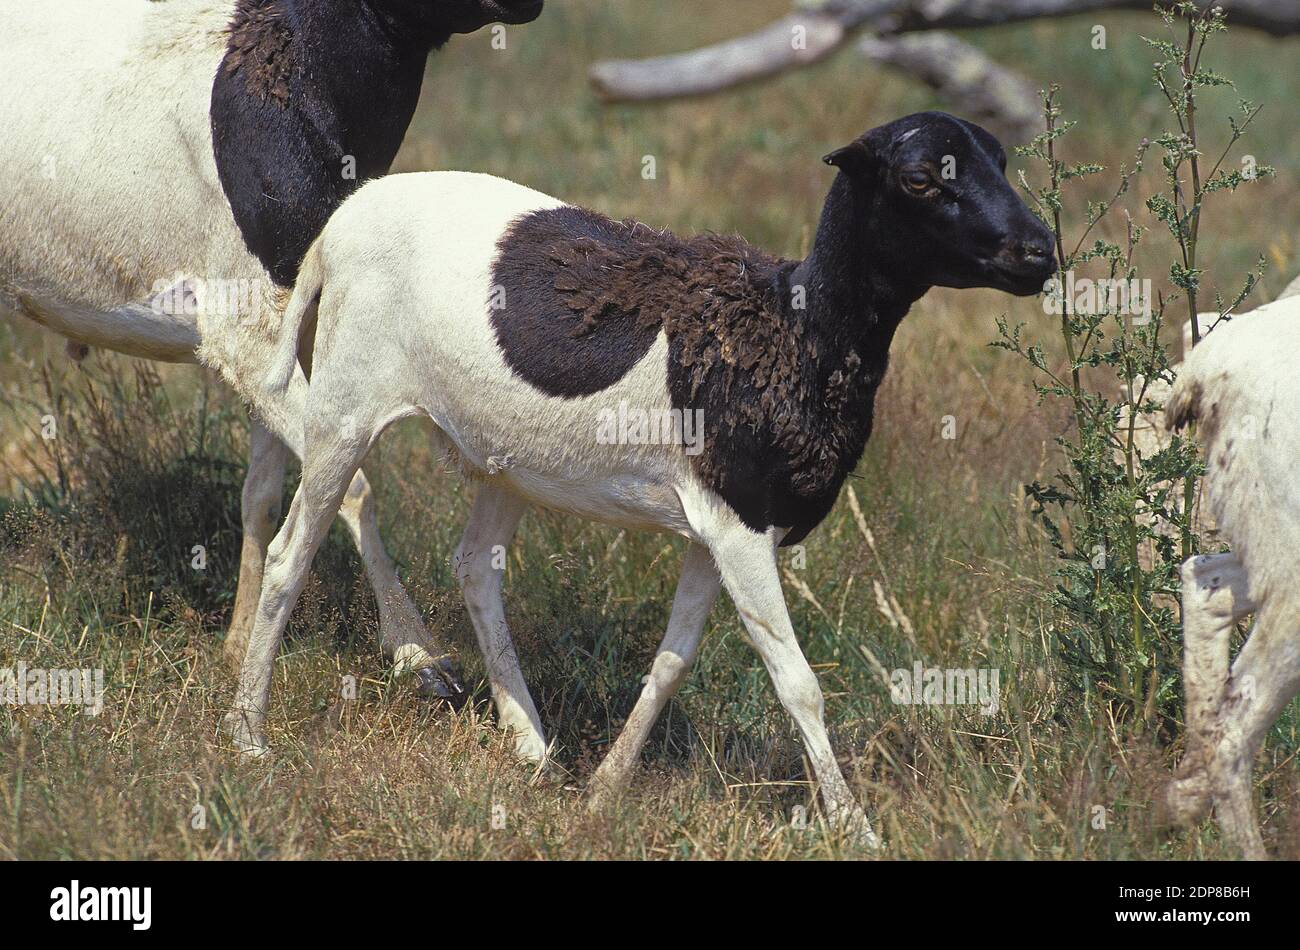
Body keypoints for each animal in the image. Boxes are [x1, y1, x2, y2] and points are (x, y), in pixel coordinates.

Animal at [0, 0, 544, 698]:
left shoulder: (290, 330)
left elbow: (261, 493)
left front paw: (237, 644)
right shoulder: (245, 334)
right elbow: (351, 488)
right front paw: (419, 654)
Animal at [224, 111, 1055, 839]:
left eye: (1001, 160)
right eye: (920, 179)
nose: (1039, 251)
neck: (797, 330)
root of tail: (342, 222)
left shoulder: (716, 532)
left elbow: (672, 661)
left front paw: (602, 791)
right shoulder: (742, 526)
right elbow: (798, 682)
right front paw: (855, 827)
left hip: (505, 463)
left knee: (474, 567)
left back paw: (533, 749)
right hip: (344, 408)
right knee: (292, 553)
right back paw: (248, 734)